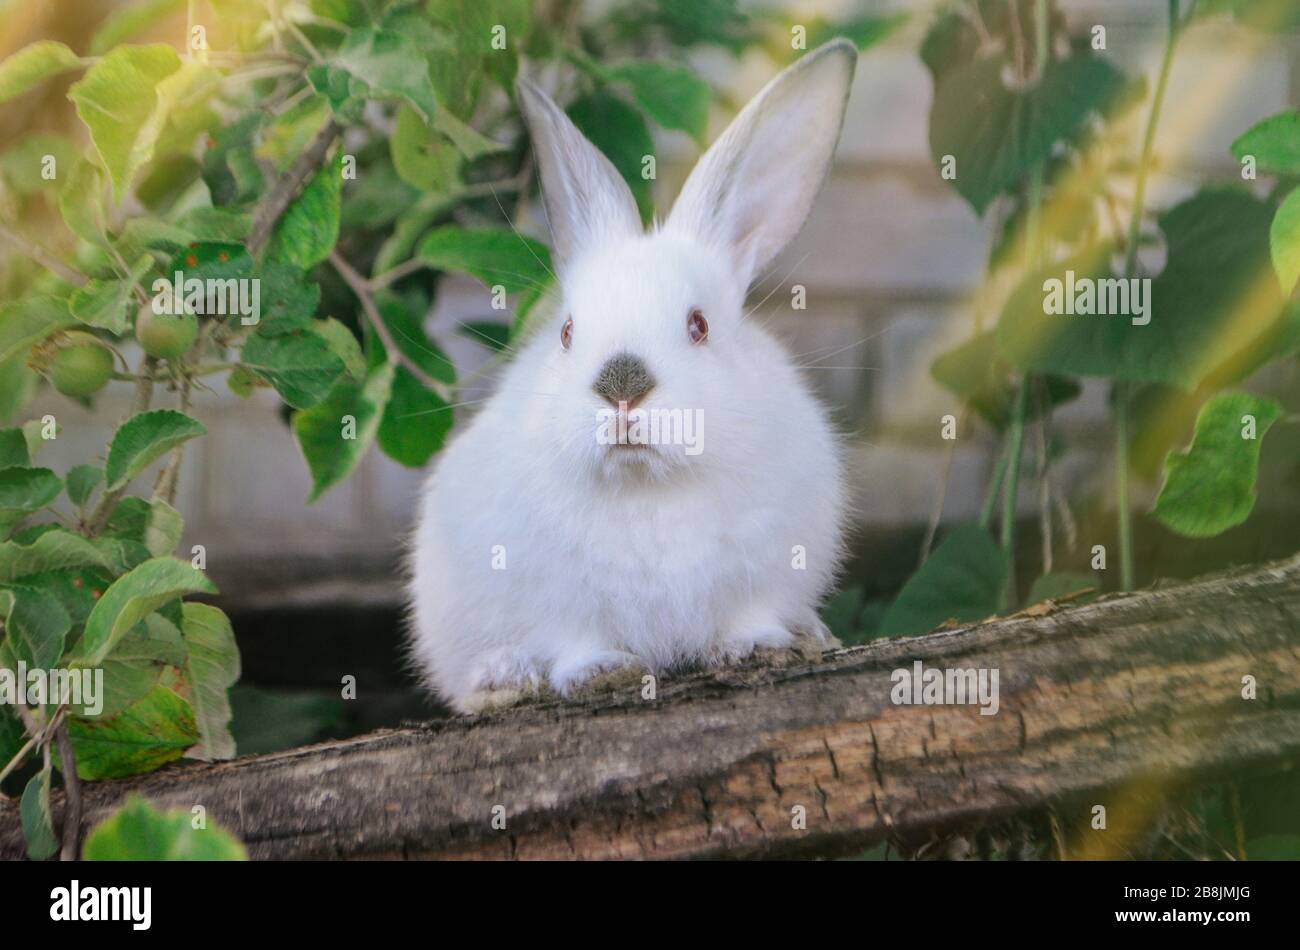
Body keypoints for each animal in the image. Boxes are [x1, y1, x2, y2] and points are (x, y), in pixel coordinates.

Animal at [408, 39, 857, 713]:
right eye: (567, 332)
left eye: (699, 324)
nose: (622, 387)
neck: (646, 485)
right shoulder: (555, 600)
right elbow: (575, 640)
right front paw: (603, 673)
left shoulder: (768, 571)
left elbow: (750, 615)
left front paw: (759, 647)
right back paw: (505, 678)